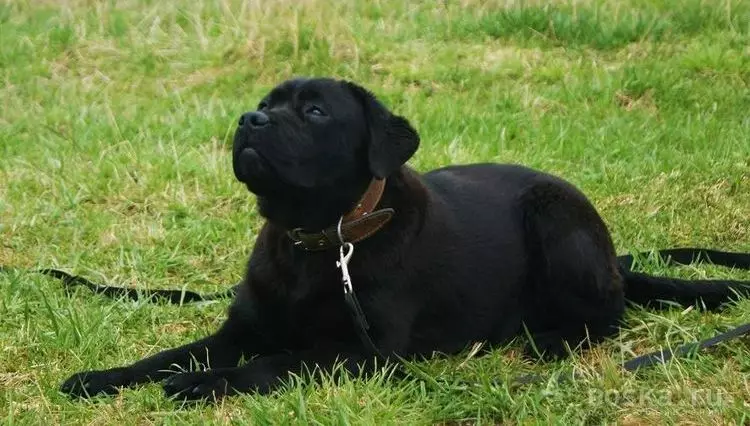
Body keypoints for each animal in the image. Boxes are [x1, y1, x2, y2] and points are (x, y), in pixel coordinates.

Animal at [60, 78, 750, 402]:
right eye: (265, 103)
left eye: (314, 112)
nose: (249, 120)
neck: (318, 242)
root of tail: (612, 256)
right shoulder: (242, 329)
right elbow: (168, 356)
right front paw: (98, 378)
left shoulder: (364, 352)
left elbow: (274, 362)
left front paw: (202, 387)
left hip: (557, 221)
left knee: (609, 312)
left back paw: (547, 339)